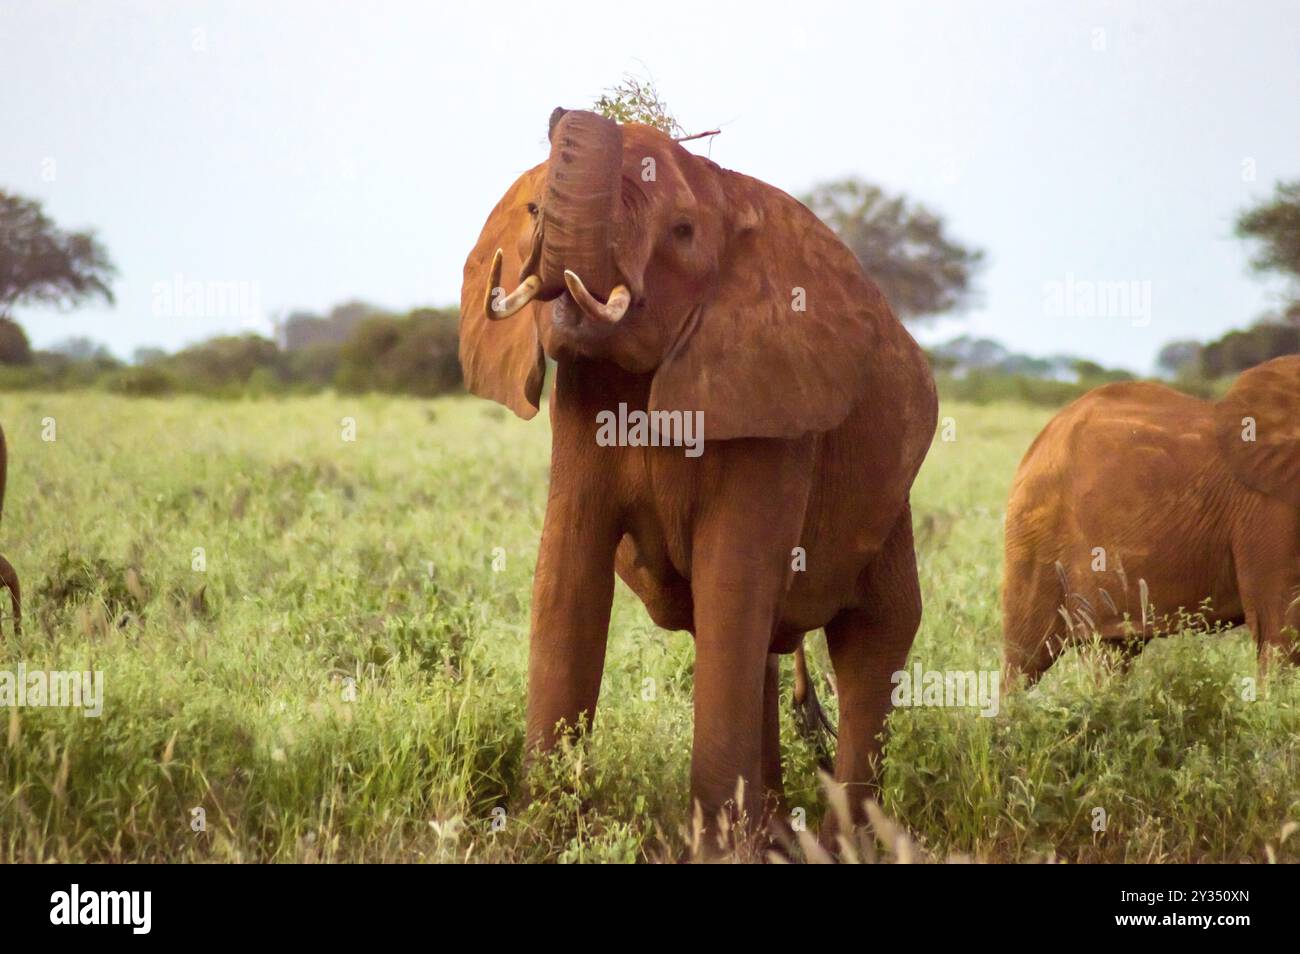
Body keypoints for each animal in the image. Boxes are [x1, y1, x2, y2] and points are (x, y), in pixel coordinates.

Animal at [459, 108, 937, 841]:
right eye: (533, 209)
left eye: (682, 232)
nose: (565, 112)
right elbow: (567, 574)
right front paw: (543, 834)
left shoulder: (774, 407)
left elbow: (731, 580)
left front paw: (716, 845)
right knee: (769, 645)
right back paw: (776, 839)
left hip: (890, 502)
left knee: (871, 640)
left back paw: (846, 842)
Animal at [1002, 355, 1300, 686]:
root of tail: (1043, 436)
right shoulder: (1267, 506)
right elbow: (1279, 627)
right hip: (1036, 534)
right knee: (1025, 658)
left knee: (1112, 653)